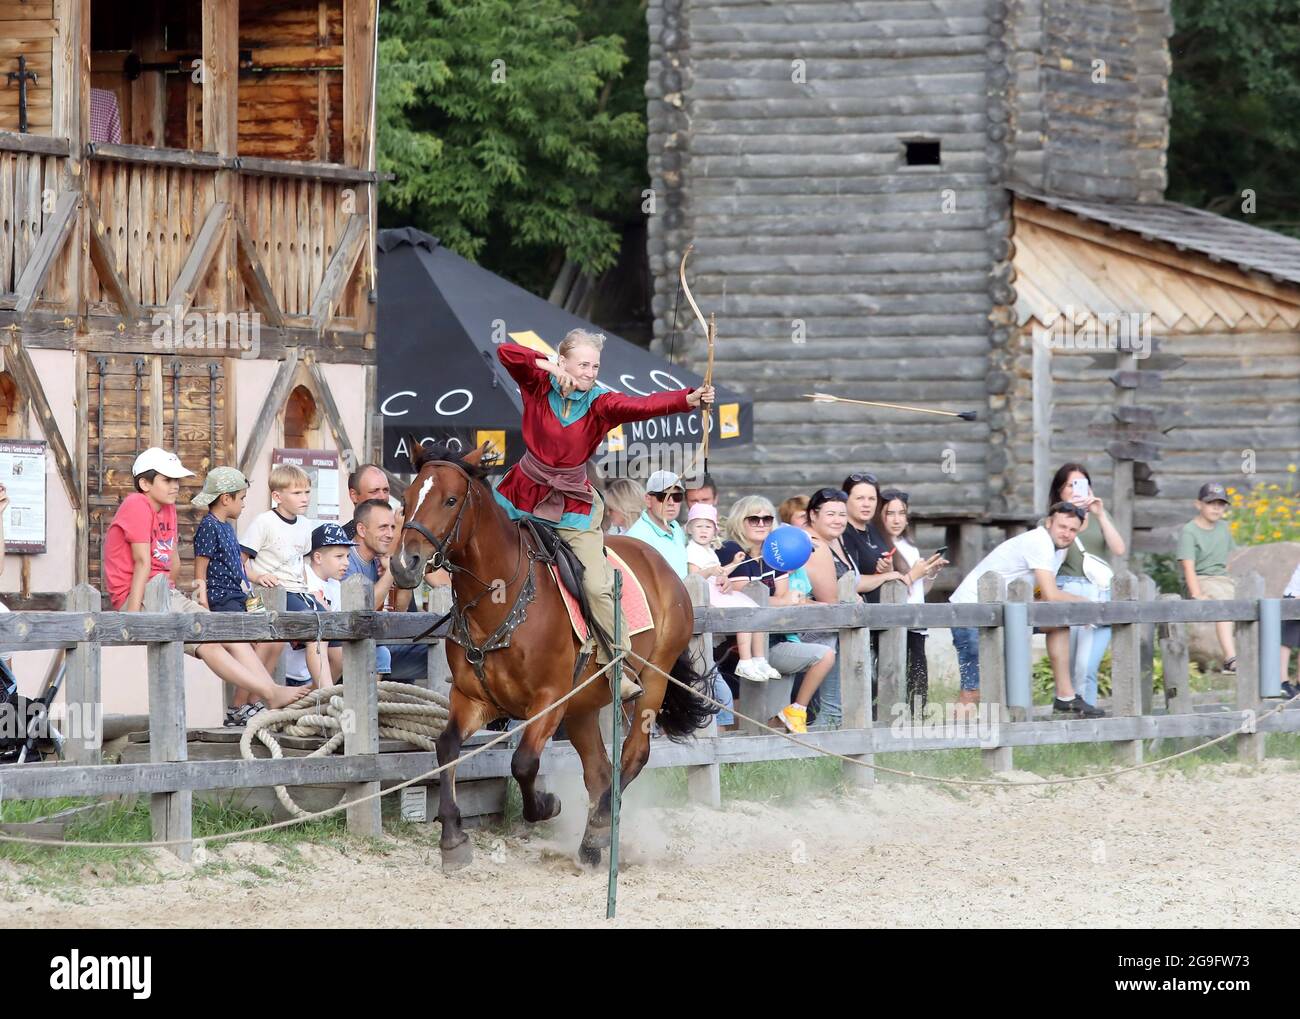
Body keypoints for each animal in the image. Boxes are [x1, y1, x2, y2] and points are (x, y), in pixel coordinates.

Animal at [389, 442, 715, 870]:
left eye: (450, 500)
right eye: (406, 499)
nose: (403, 564)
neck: (502, 597)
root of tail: (663, 564)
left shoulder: (548, 701)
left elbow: (523, 763)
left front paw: (545, 805)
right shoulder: (473, 699)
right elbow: (446, 748)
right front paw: (453, 838)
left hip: (652, 681)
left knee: (632, 757)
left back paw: (600, 827)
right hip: (582, 707)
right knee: (599, 770)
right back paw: (593, 841)